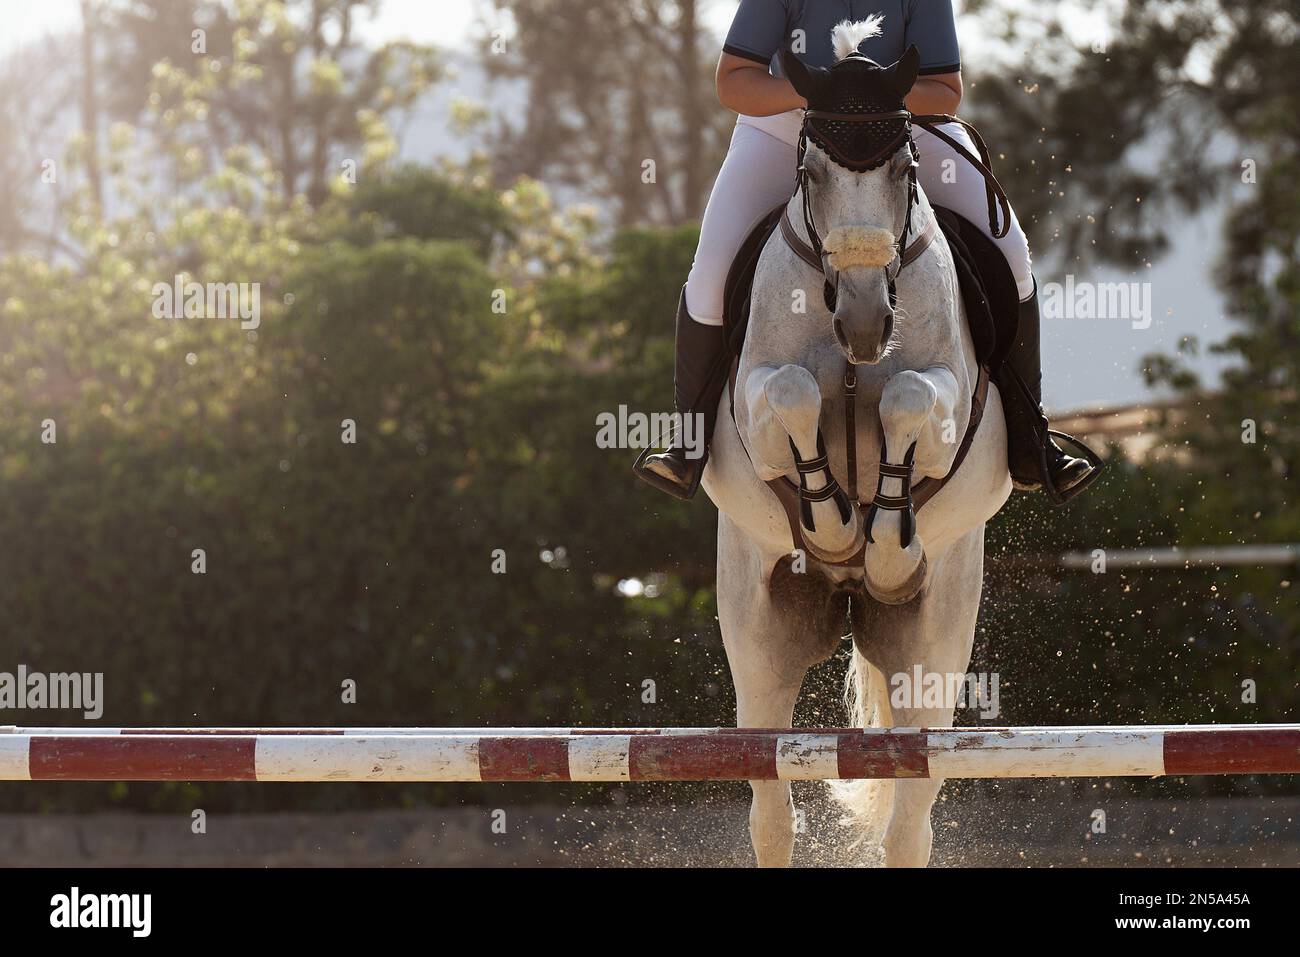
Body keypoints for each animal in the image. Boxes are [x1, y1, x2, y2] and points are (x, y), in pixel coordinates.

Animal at [702, 37, 1013, 867]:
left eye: (905, 169)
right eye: (812, 174)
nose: (868, 320)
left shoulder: (949, 396)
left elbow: (907, 397)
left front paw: (884, 542)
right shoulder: (754, 400)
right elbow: (793, 393)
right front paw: (836, 524)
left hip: (934, 645)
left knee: (911, 814)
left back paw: (887, 562)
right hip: (759, 636)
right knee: (770, 809)